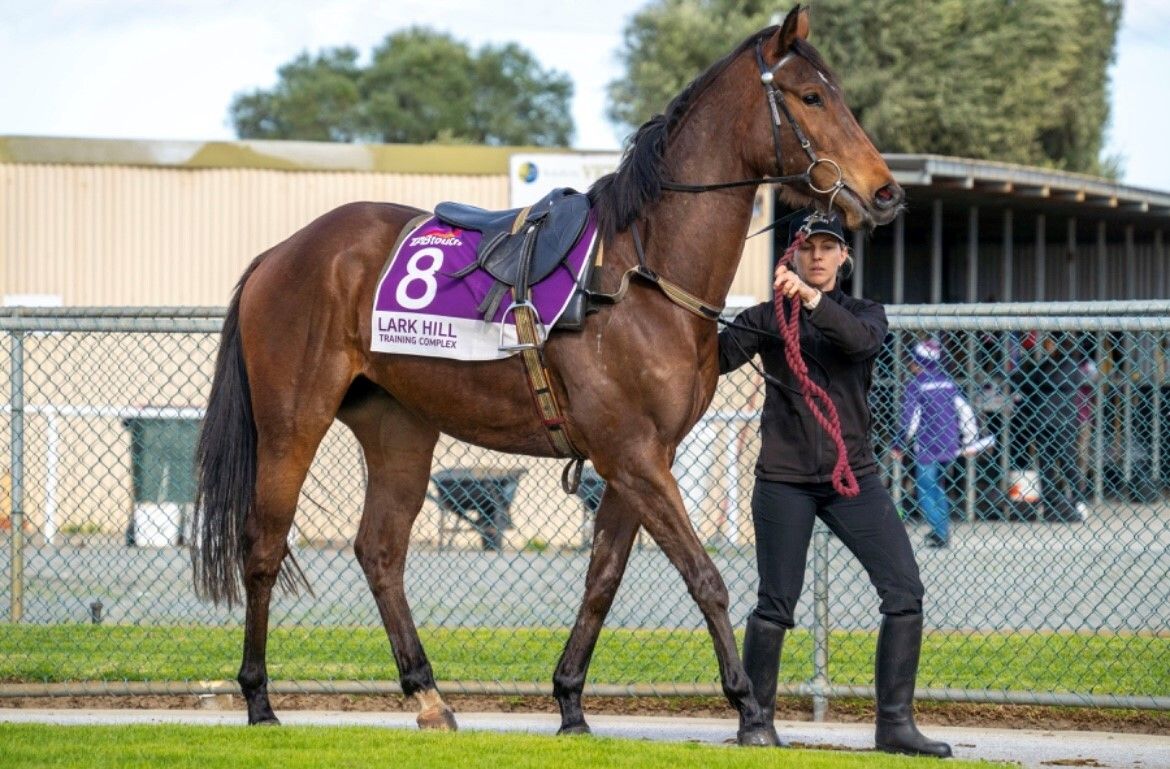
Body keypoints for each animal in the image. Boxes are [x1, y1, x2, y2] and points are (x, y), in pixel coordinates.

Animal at [193, 5, 904, 746]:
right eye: (812, 96)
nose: (885, 190)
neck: (639, 275)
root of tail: (281, 253)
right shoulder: (634, 456)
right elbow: (704, 576)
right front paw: (750, 709)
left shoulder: (634, 462)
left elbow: (603, 579)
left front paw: (570, 701)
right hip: (291, 425)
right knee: (264, 543)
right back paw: (259, 698)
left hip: (399, 429)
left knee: (381, 551)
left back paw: (429, 695)